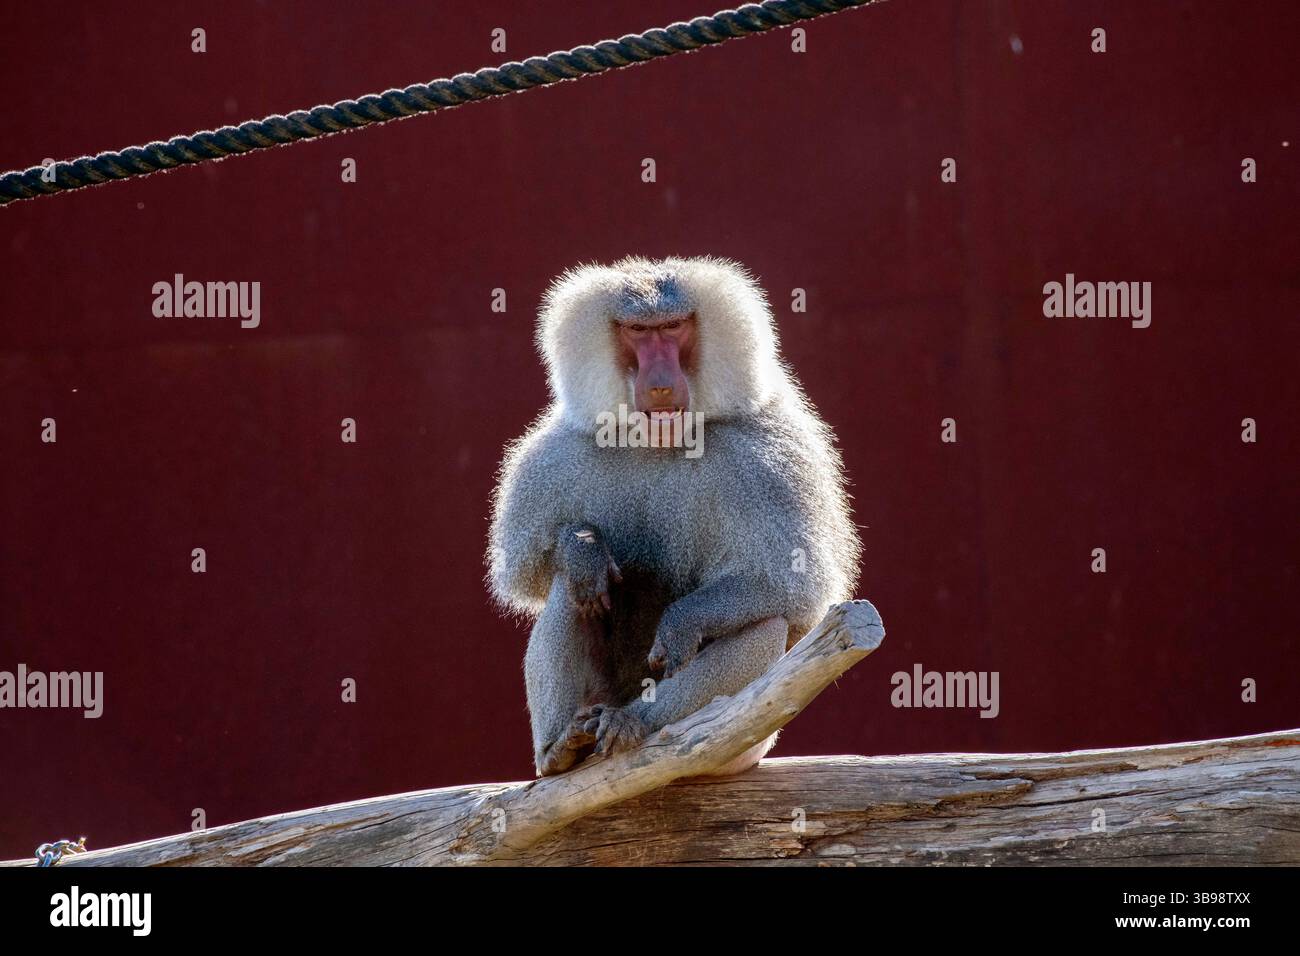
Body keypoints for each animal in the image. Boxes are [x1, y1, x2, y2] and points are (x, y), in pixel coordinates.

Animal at [487, 256, 861, 777]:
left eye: (673, 327)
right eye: (638, 332)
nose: (661, 384)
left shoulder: (770, 457)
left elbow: (793, 586)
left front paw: (681, 623)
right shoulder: (557, 454)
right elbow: (525, 572)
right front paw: (580, 544)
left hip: (744, 742)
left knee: (765, 626)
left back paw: (637, 722)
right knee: (573, 588)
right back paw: (559, 751)